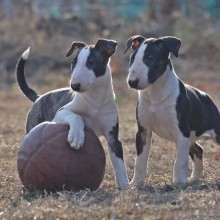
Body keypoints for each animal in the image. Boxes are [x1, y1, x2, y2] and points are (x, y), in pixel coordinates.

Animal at [52, 38, 129, 189]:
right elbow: (76, 116)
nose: (74, 86)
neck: (95, 99)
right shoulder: (61, 112)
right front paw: (76, 137)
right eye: (73, 63)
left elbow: (119, 161)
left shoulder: (112, 135)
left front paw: (124, 185)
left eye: (91, 62)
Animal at [124, 35, 220, 185]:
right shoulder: (143, 131)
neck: (155, 93)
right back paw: (196, 177)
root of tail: (205, 95)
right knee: (199, 150)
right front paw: (135, 183)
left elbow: (180, 161)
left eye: (150, 58)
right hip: (189, 138)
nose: (132, 82)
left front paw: (179, 183)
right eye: (132, 58)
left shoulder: (181, 131)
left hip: (212, 132)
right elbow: (140, 161)